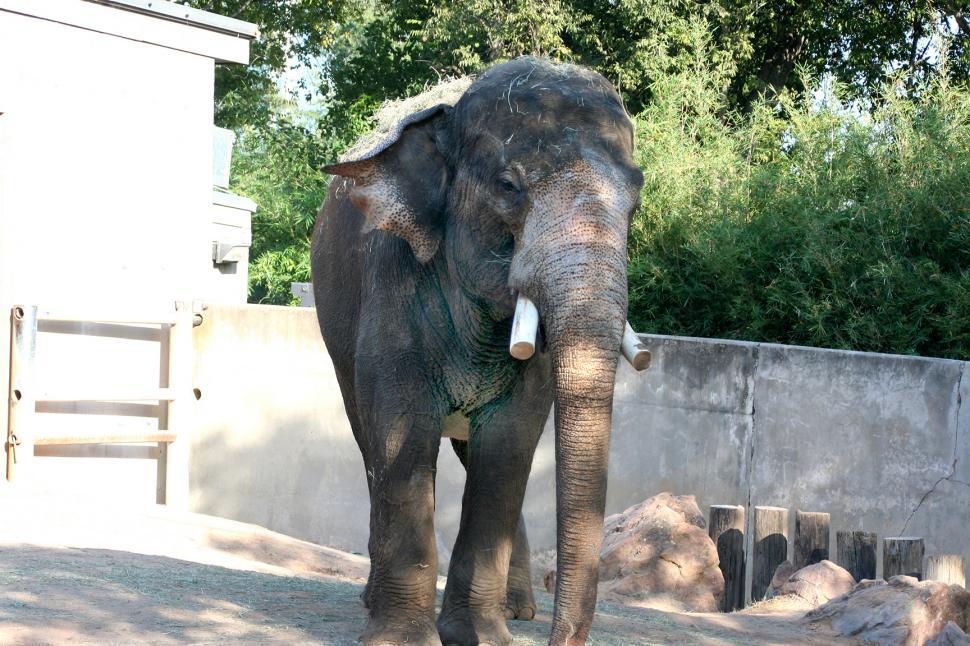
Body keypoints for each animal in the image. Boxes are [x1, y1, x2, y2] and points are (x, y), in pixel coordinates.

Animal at [311, 57, 643, 645]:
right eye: (509, 186)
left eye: (636, 202)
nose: (558, 638)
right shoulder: (392, 277)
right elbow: (399, 431)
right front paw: (402, 641)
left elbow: (509, 445)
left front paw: (481, 638)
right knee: (368, 442)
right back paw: (373, 600)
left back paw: (517, 611)